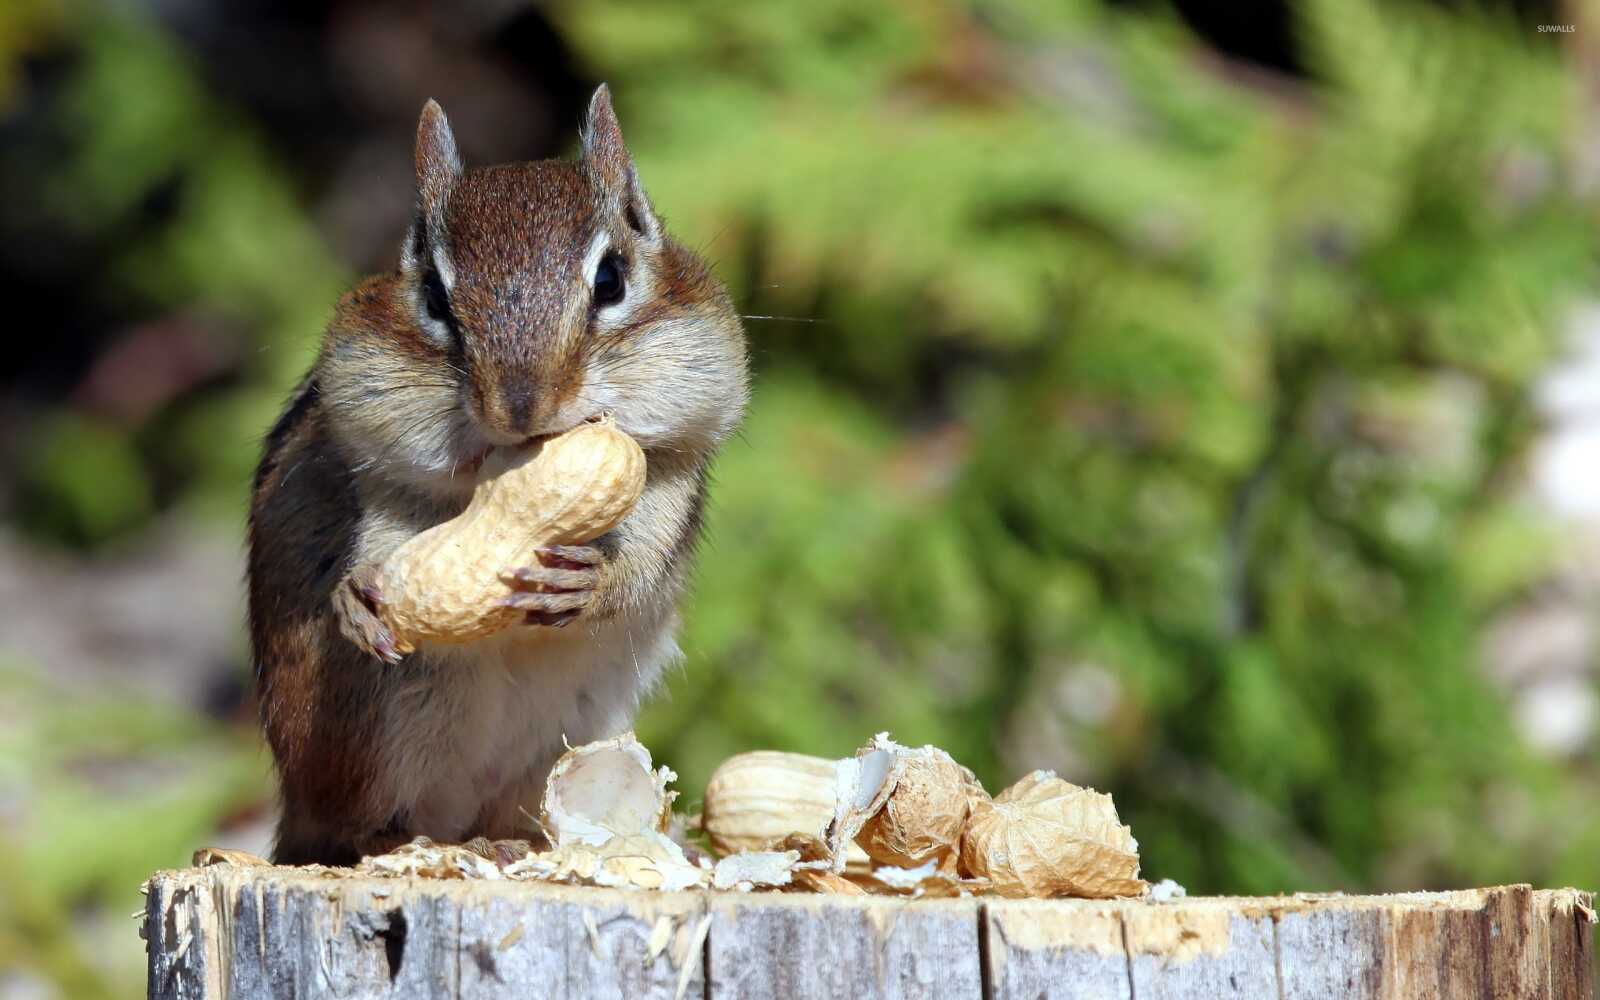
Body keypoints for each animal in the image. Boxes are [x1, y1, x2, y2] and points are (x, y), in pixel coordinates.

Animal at [247, 86, 749, 866]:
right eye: (433, 297)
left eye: (611, 279)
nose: (520, 408)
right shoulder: (383, 479)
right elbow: (378, 546)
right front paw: (357, 599)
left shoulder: (670, 481)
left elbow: (641, 566)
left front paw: (591, 582)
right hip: (377, 723)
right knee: (353, 827)